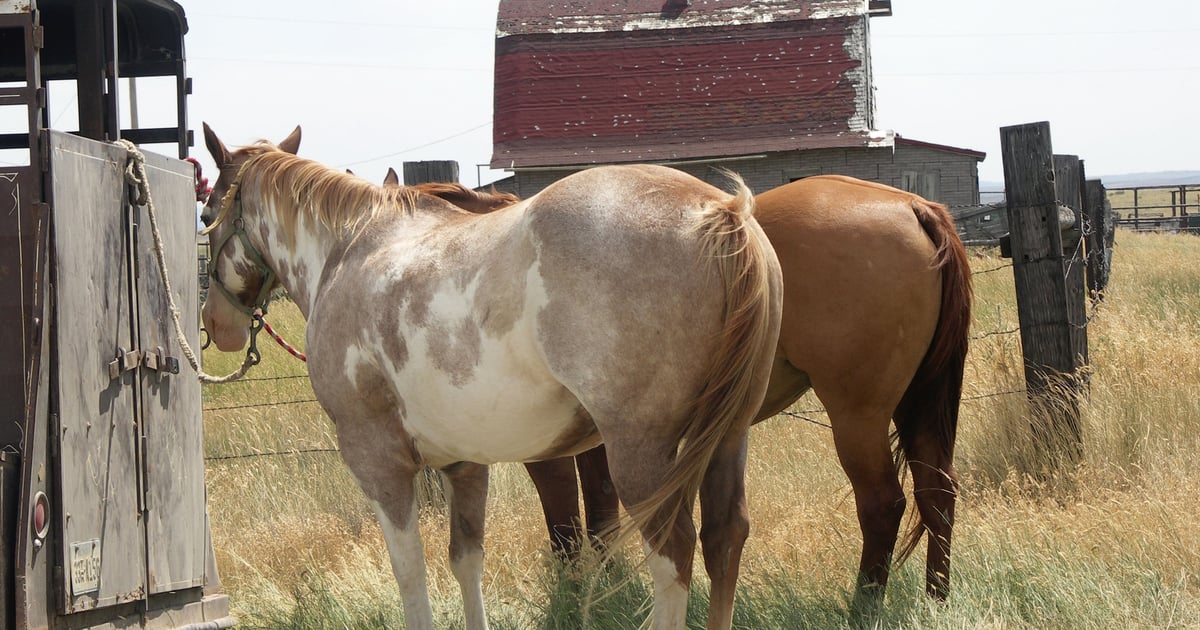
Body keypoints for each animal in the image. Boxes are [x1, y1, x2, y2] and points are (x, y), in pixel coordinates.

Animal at [198, 123, 782, 630]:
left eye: (206, 211)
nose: (215, 324)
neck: (351, 249)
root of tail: (721, 210)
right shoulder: (465, 463)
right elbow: (466, 562)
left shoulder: (378, 462)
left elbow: (410, 574)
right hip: (728, 437)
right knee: (724, 539)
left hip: (640, 452)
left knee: (672, 553)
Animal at [523, 175, 973, 608]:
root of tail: (910, 204)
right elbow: (600, 508)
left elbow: (565, 517)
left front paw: (576, 593)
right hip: (916, 402)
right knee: (936, 489)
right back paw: (936, 597)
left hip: (857, 415)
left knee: (882, 502)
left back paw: (863, 607)